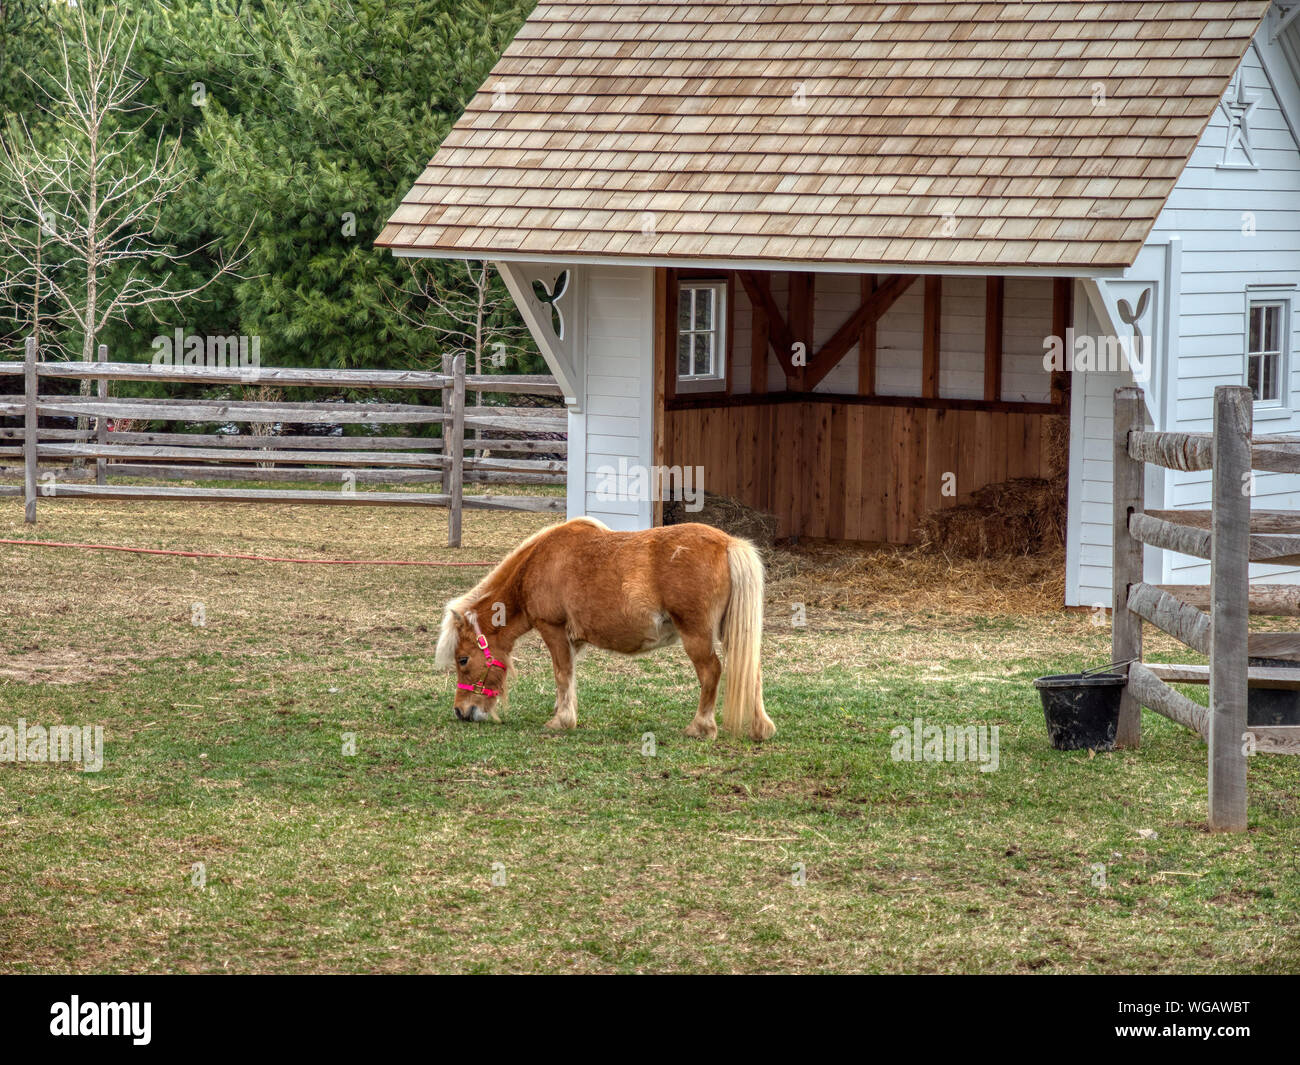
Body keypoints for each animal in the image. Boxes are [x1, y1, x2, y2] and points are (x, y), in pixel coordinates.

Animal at [434, 517, 775, 740]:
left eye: (463, 660)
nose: (461, 712)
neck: (540, 563)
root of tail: (729, 544)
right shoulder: (574, 640)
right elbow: (568, 677)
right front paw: (563, 711)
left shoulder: (553, 629)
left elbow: (561, 674)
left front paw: (561, 721)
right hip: (733, 632)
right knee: (752, 671)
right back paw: (760, 728)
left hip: (697, 636)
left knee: (711, 672)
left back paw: (701, 727)